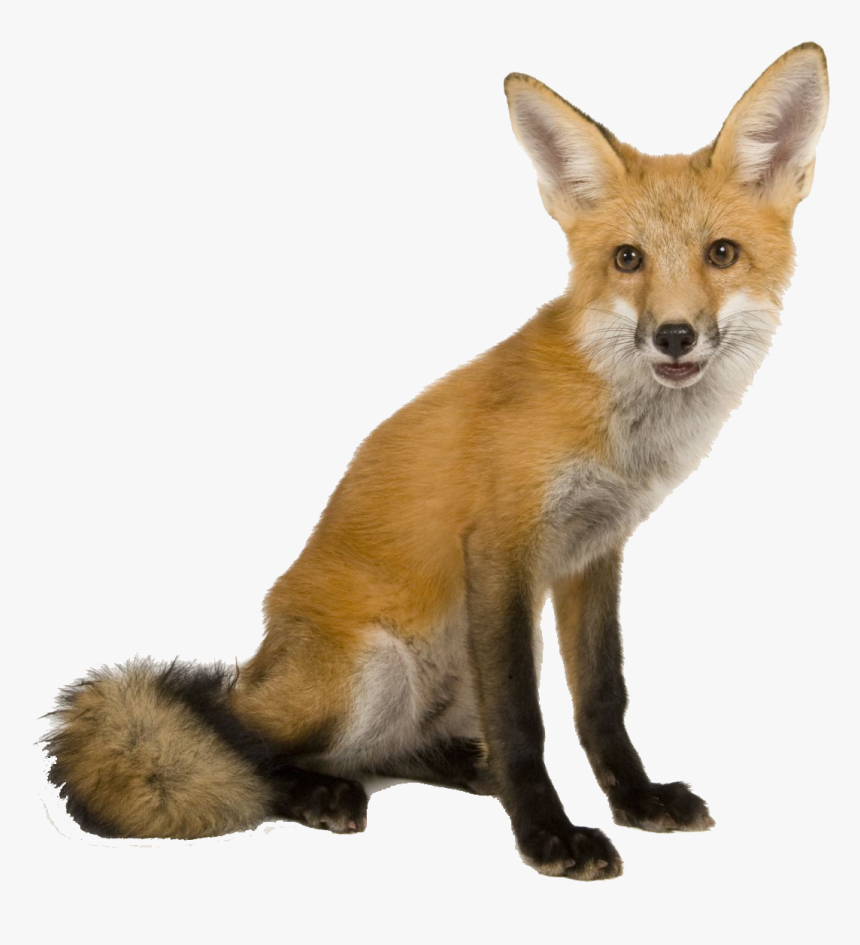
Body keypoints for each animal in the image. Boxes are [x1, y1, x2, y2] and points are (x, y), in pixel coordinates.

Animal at [44, 43, 828, 880]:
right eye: (628, 259)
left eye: (722, 254)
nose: (674, 334)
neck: (619, 426)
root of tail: (263, 663)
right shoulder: (501, 549)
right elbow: (524, 722)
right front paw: (548, 835)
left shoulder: (593, 555)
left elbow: (602, 698)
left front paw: (636, 798)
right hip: (373, 666)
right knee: (239, 744)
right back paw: (315, 791)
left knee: (389, 751)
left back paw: (455, 765)